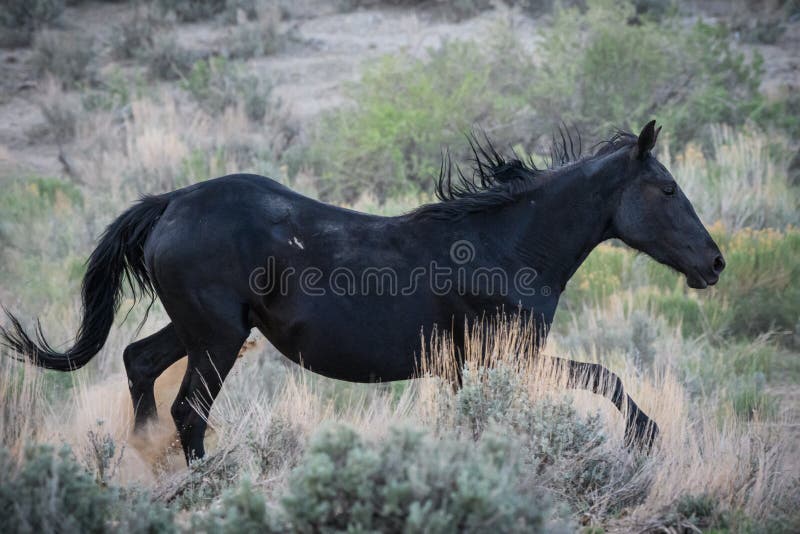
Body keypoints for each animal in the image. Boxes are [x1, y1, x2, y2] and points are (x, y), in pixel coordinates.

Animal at [1, 120, 725, 464]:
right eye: (666, 189)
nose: (714, 263)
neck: (505, 248)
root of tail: (172, 202)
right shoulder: (508, 356)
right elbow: (606, 378)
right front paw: (645, 438)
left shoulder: (468, 369)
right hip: (218, 336)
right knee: (188, 411)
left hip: (201, 328)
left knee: (140, 363)